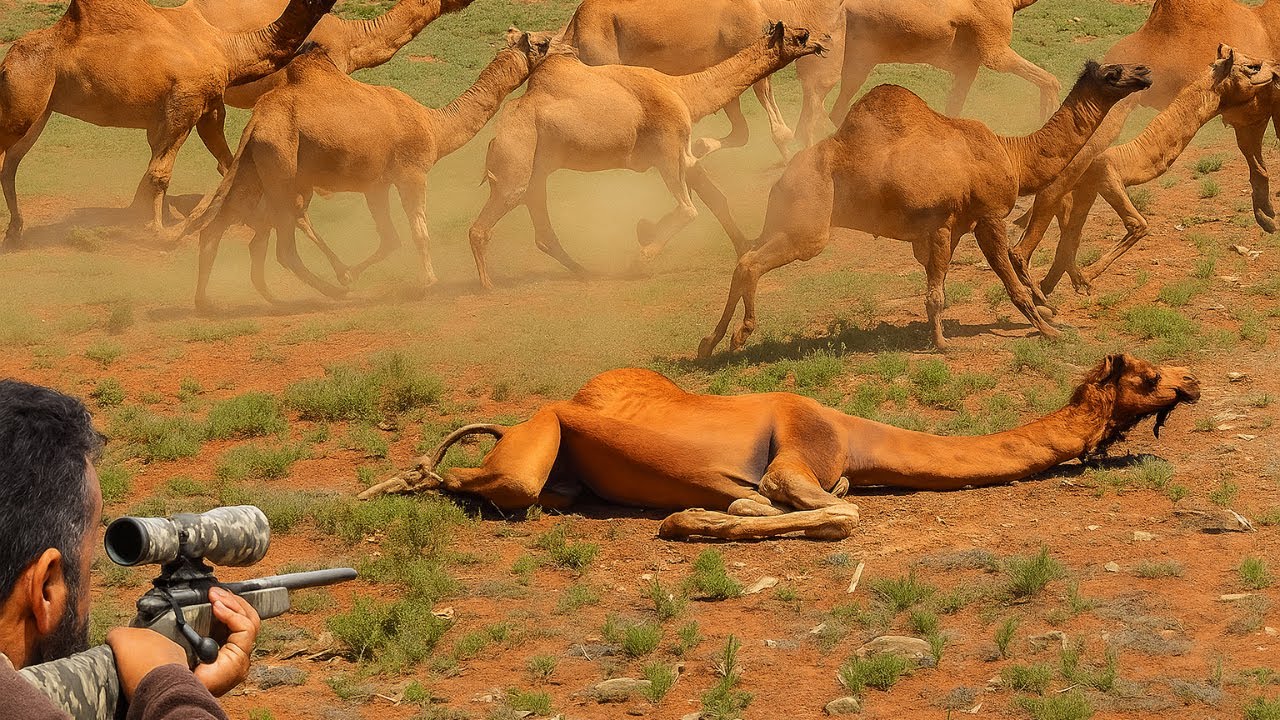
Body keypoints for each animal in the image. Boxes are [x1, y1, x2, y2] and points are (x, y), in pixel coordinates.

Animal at [0, 0, 336, 246]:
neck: (228, 49)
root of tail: (8, 60)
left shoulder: (206, 106)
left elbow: (223, 161)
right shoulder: (184, 102)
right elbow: (160, 173)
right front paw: (163, 231)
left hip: (38, 111)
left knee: (10, 164)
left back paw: (15, 232)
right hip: (23, 97)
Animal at [179, 30, 552, 311]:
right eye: (539, 43)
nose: (551, 42)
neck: (435, 126)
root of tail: (257, 120)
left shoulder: (377, 185)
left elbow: (390, 239)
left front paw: (352, 274)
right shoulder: (411, 173)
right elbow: (418, 232)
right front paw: (427, 284)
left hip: (257, 167)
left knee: (220, 227)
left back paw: (210, 302)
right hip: (284, 169)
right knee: (282, 244)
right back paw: (333, 292)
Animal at [467, 22, 825, 292]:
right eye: (801, 36)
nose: (823, 41)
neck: (684, 91)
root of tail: (497, 135)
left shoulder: (683, 153)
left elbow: (716, 198)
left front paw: (745, 245)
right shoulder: (667, 150)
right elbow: (689, 210)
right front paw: (640, 255)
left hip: (538, 170)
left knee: (541, 226)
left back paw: (584, 271)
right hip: (515, 160)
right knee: (485, 223)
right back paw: (487, 286)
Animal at [697, 62, 1153, 358]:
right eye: (1114, 73)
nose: (1146, 72)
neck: (1013, 156)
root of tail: (783, 178)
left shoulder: (944, 228)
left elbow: (938, 290)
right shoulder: (982, 217)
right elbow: (1004, 279)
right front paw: (1047, 328)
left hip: (786, 216)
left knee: (743, 257)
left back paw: (708, 344)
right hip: (810, 224)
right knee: (752, 262)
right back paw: (739, 337)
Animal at [1012, 47, 1279, 296]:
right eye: (1251, 67)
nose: (1275, 70)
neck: (1133, 154)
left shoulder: (1085, 189)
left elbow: (1070, 238)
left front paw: (1056, 285)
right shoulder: (1103, 173)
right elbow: (1136, 224)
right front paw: (1083, 278)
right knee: (1022, 247)